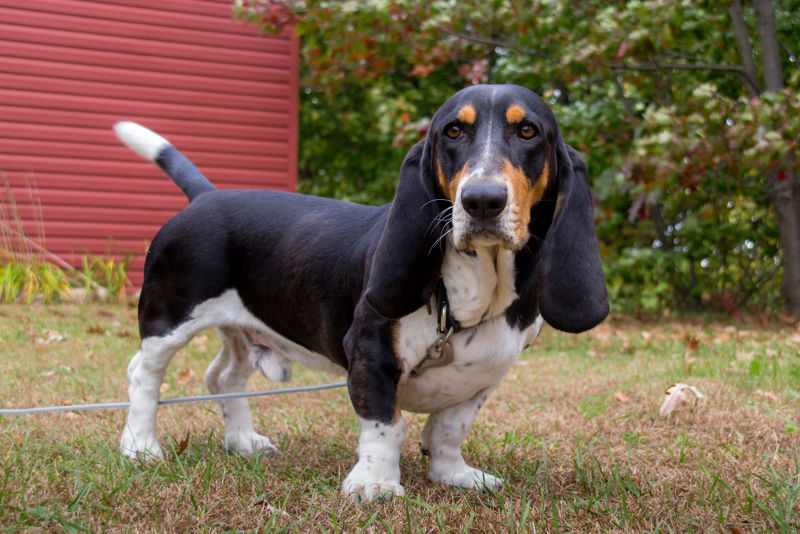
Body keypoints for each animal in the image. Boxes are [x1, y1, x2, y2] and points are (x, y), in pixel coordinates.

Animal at [112, 82, 608, 502]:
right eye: (453, 131)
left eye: (527, 131)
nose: (481, 200)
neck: (473, 290)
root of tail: (205, 196)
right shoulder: (371, 354)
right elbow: (387, 426)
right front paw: (375, 484)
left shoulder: (483, 376)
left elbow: (449, 429)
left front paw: (454, 475)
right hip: (170, 318)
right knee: (143, 374)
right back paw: (141, 446)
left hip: (242, 330)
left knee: (224, 378)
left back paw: (243, 441)